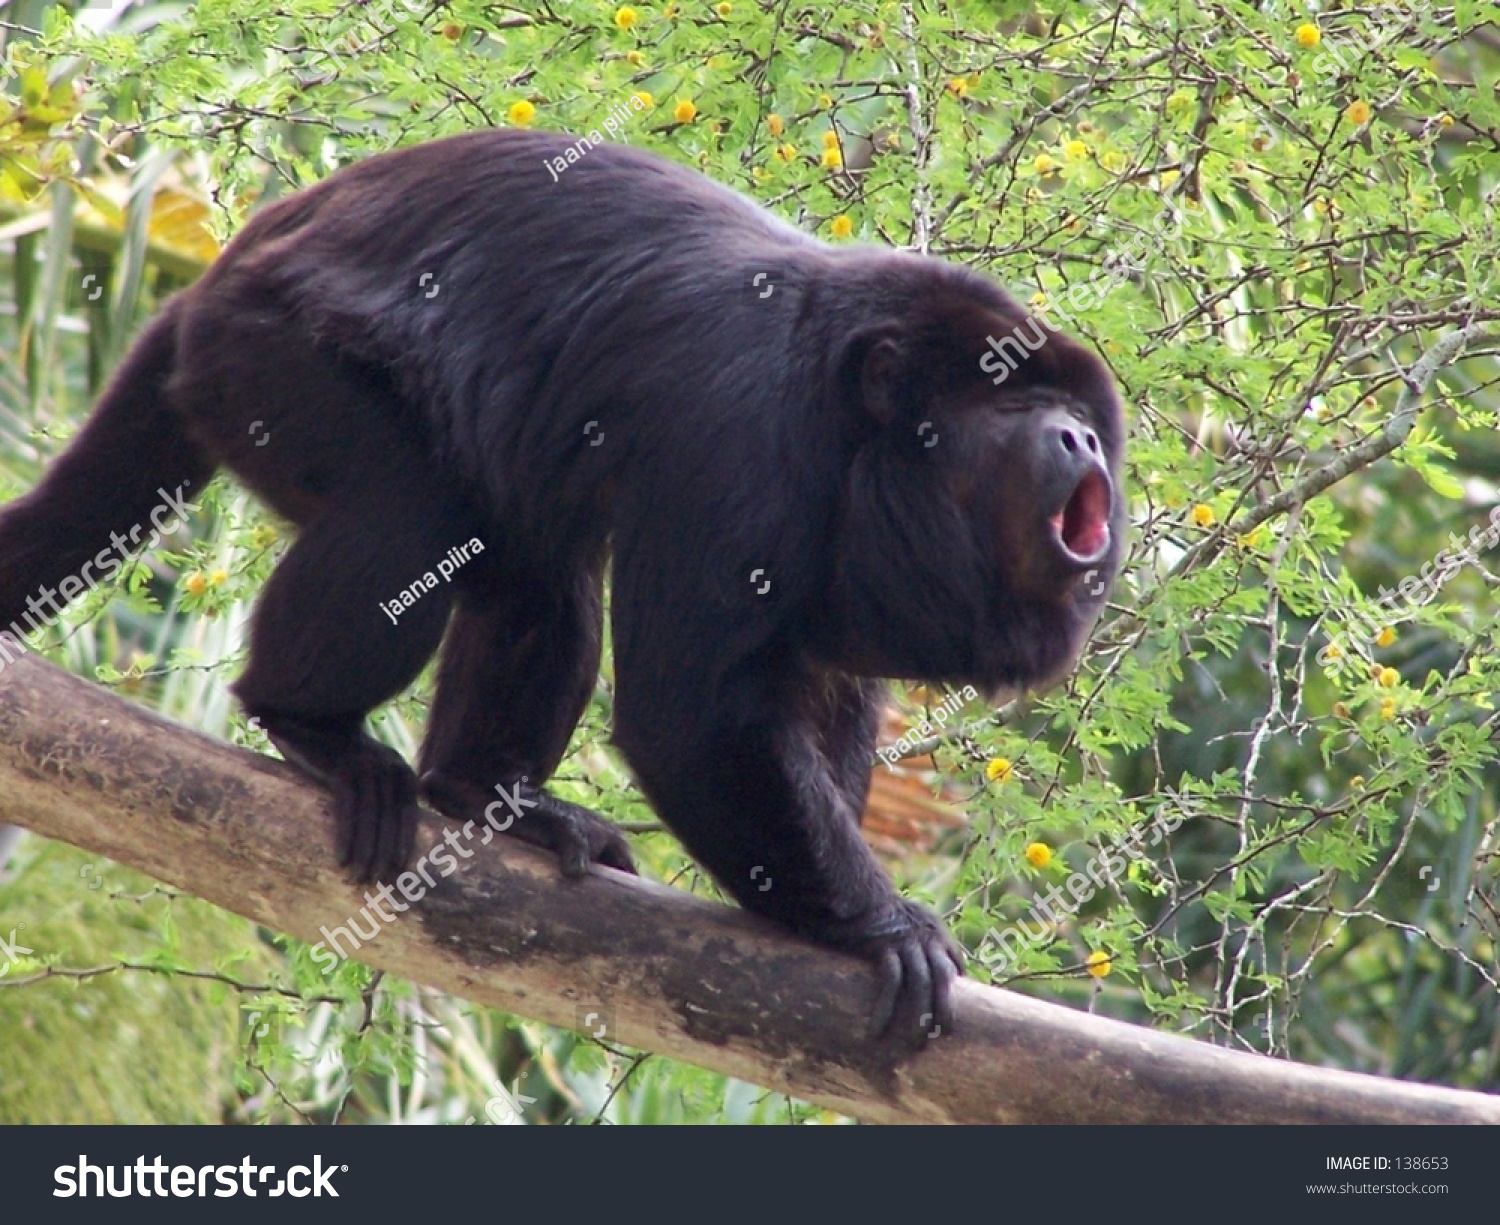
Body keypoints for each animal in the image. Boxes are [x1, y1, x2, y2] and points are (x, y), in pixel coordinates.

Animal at [0, 129, 1124, 1045]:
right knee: (412, 516)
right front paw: (880, 924)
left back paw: (482, 792)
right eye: (1012, 399)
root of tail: (217, 275)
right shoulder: (743, 432)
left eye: (1077, 412)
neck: (853, 421)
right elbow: (690, 716)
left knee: (540, 574)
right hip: (267, 362)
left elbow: (820, 683)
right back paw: (310, 726)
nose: (1078, 438)